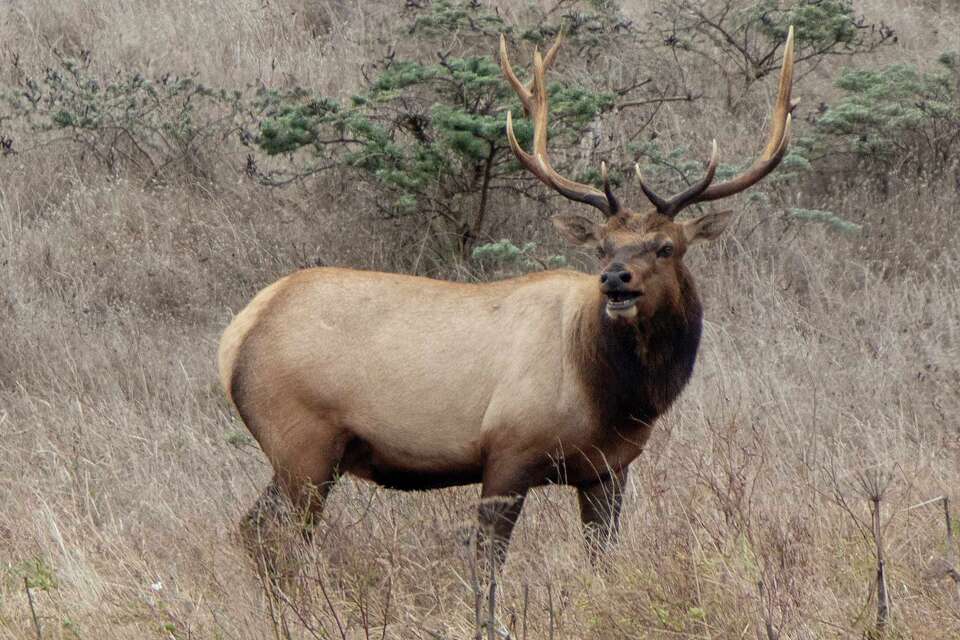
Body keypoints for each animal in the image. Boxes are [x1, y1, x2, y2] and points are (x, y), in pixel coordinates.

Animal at [218, 27, 796, 572]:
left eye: (667, 247)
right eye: (602, 245)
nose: (615, 280)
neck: (615, 394)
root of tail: (235, 337)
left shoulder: (608, 469)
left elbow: (601, 560)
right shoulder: (507, 452)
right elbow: (487, 562)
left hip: (309, 456)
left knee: (254, 532)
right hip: (302, 444)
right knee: (270, 536)